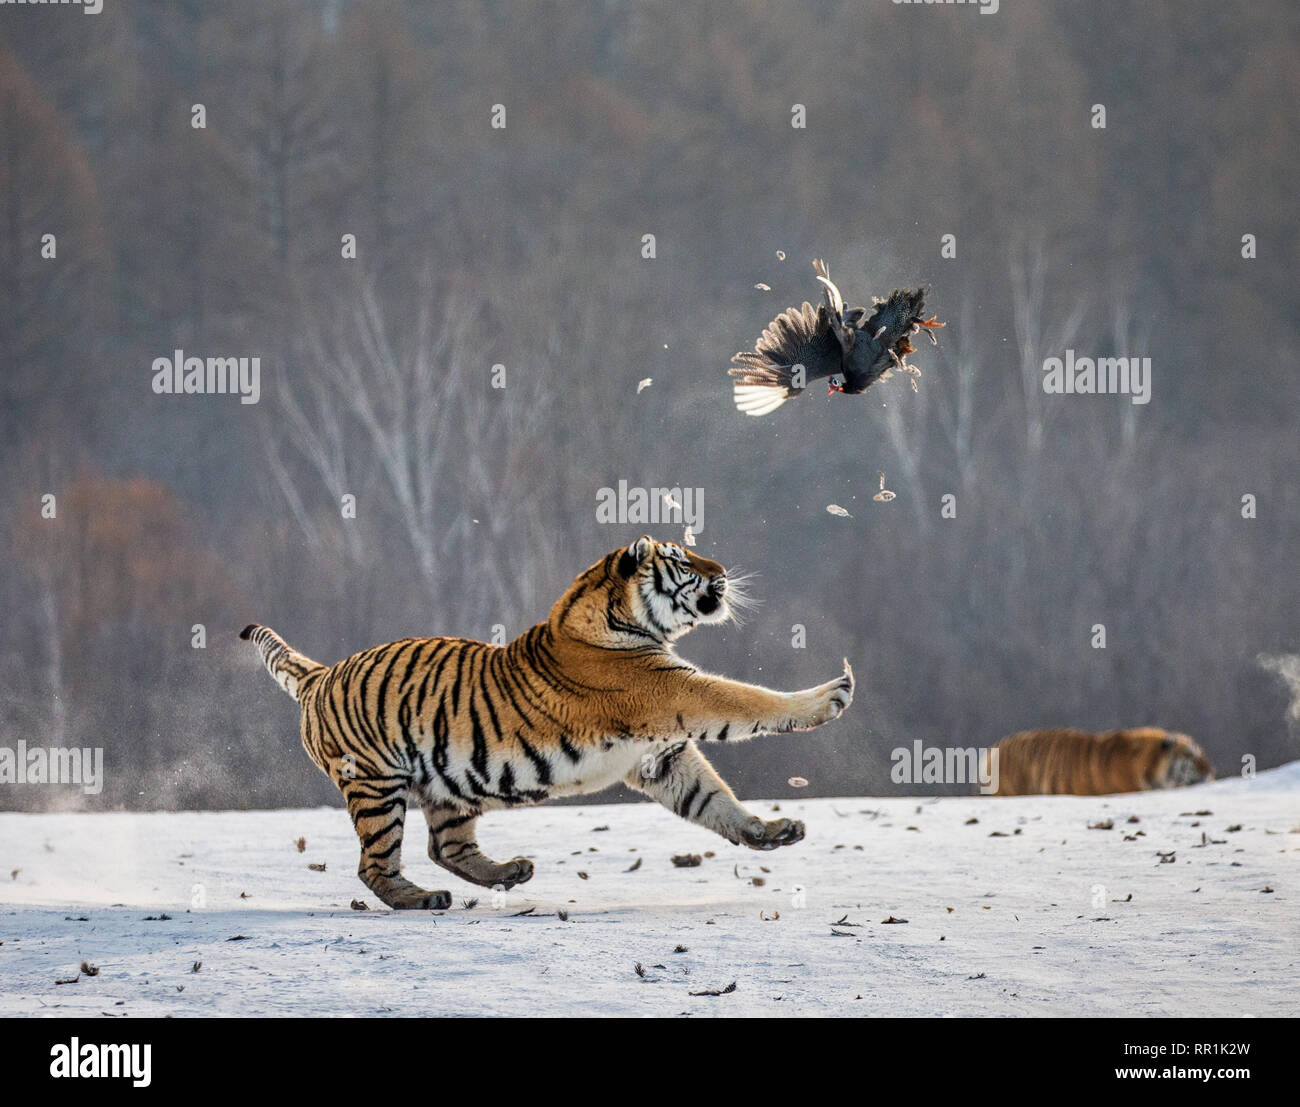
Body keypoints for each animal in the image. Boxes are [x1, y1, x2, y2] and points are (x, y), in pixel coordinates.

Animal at [240, 535, 855, 909]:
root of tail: (320, 674)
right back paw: (420, 899)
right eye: (684, 562)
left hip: (447, 786)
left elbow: (711, 799)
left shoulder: (657, 757)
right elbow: (748, 700)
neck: (628, 623)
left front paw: (770, 831)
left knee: (447, 848)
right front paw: (831, 696)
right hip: (376, 785)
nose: (723, 572)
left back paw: (508, 873)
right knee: (374, 864)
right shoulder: (675, 691)